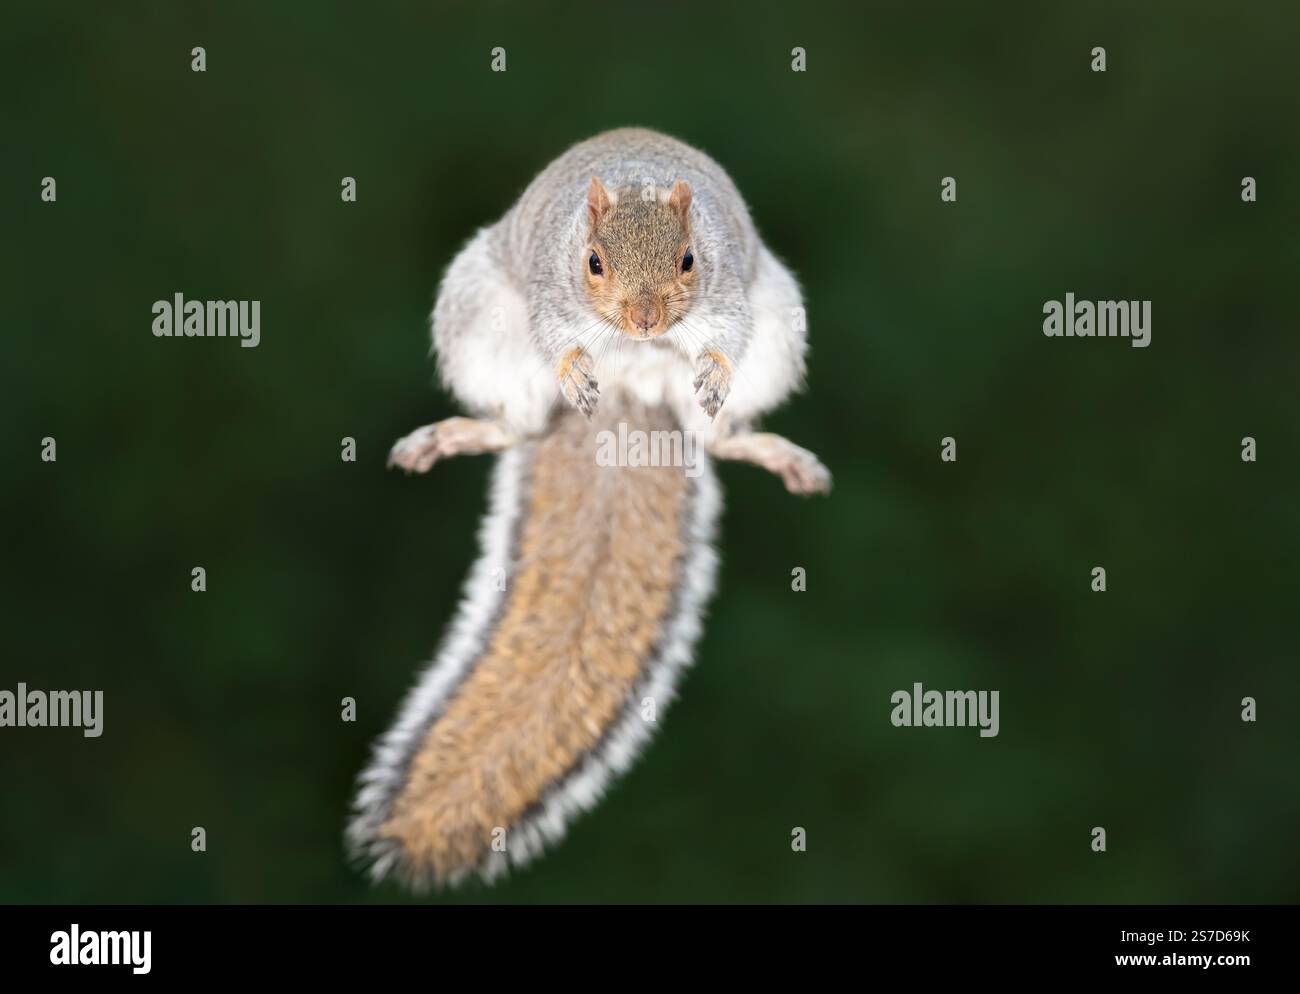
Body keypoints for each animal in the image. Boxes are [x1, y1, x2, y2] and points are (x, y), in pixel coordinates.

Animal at [348, 127, 830, 889]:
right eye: (593, 262)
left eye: (689, 260)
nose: (645, 320)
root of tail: (632, 395)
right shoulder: (550, 290)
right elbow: (556, 334)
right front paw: (574, 367)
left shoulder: (728, 292)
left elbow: (727, 333)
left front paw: (714, 369)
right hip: (478, 317)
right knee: (515, 423)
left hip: (781, 328)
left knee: (718, 436)